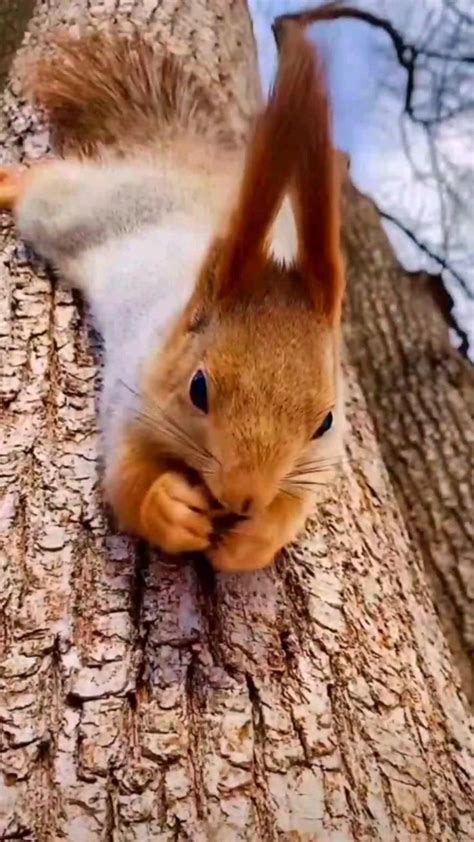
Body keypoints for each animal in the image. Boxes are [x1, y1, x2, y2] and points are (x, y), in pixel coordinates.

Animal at [0, 22, 345, 573]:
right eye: (198, 388)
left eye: (325, 421)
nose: (243, 498)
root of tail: (177, 166)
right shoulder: (133, 393)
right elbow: (126, 480)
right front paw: (168, 507)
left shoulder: (323, 460)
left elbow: (293, 508)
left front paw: (255, 536)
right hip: (73, 213)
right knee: (47, 186)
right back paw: (11, 182)